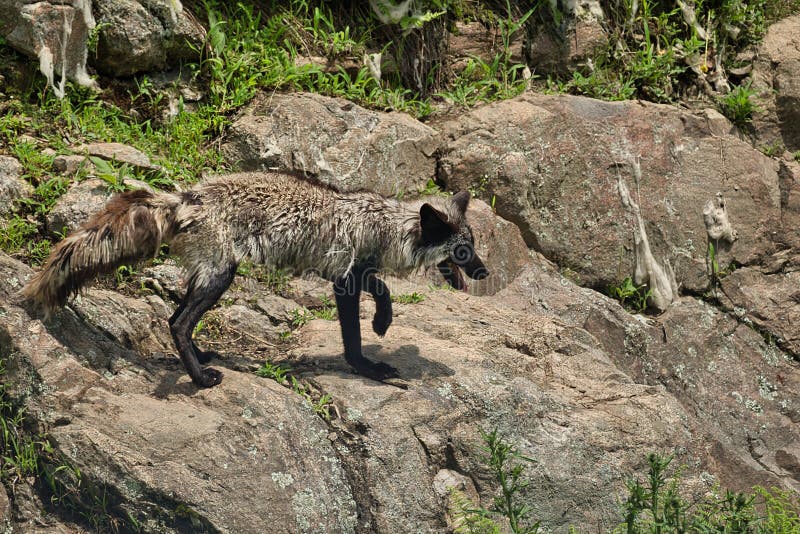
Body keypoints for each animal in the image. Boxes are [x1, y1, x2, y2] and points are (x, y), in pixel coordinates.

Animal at [22, 171, 488, 387]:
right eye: (462, 252)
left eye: (474, 246)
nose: (484, 272)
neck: (382, 226)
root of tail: (186, 198)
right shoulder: (344, 277)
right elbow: (359, 330)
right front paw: (369, 361)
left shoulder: (357, 272)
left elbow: (382, 289)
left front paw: (382, 324)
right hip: (220, 277)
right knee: (178, 323)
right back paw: (199, 378)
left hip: (209, 275)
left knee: (175, 319)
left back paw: (200, 356)